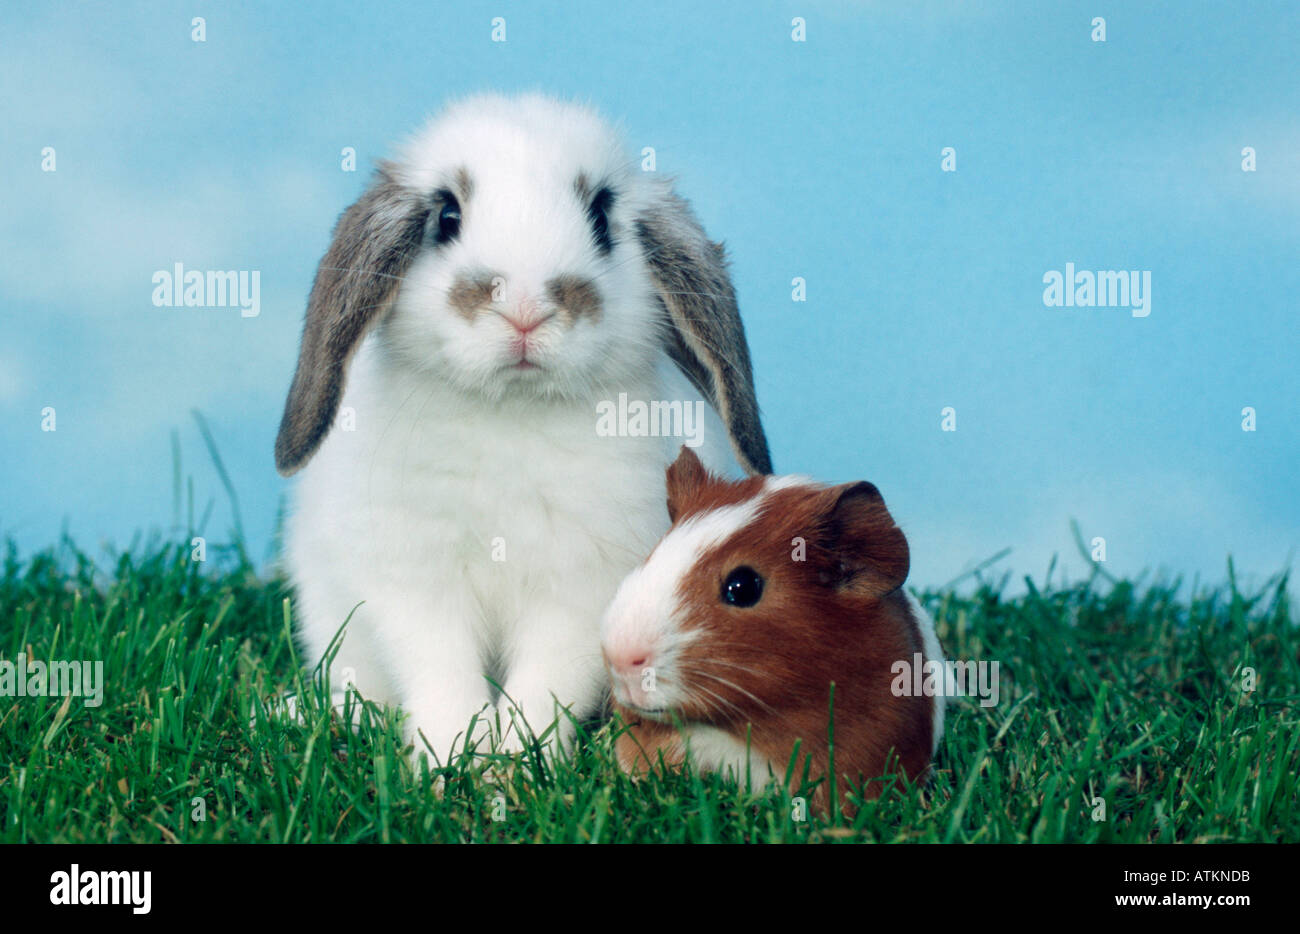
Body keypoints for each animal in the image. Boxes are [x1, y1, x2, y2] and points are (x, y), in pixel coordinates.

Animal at [274, 94, 772, 764]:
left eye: (601, 216)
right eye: (447, 215)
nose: (525, 309)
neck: (512, 409)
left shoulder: (582, 594)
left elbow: (545, 682)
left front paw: (511, 761)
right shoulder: (416, 581)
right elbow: (441, 671)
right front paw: (451, 758)